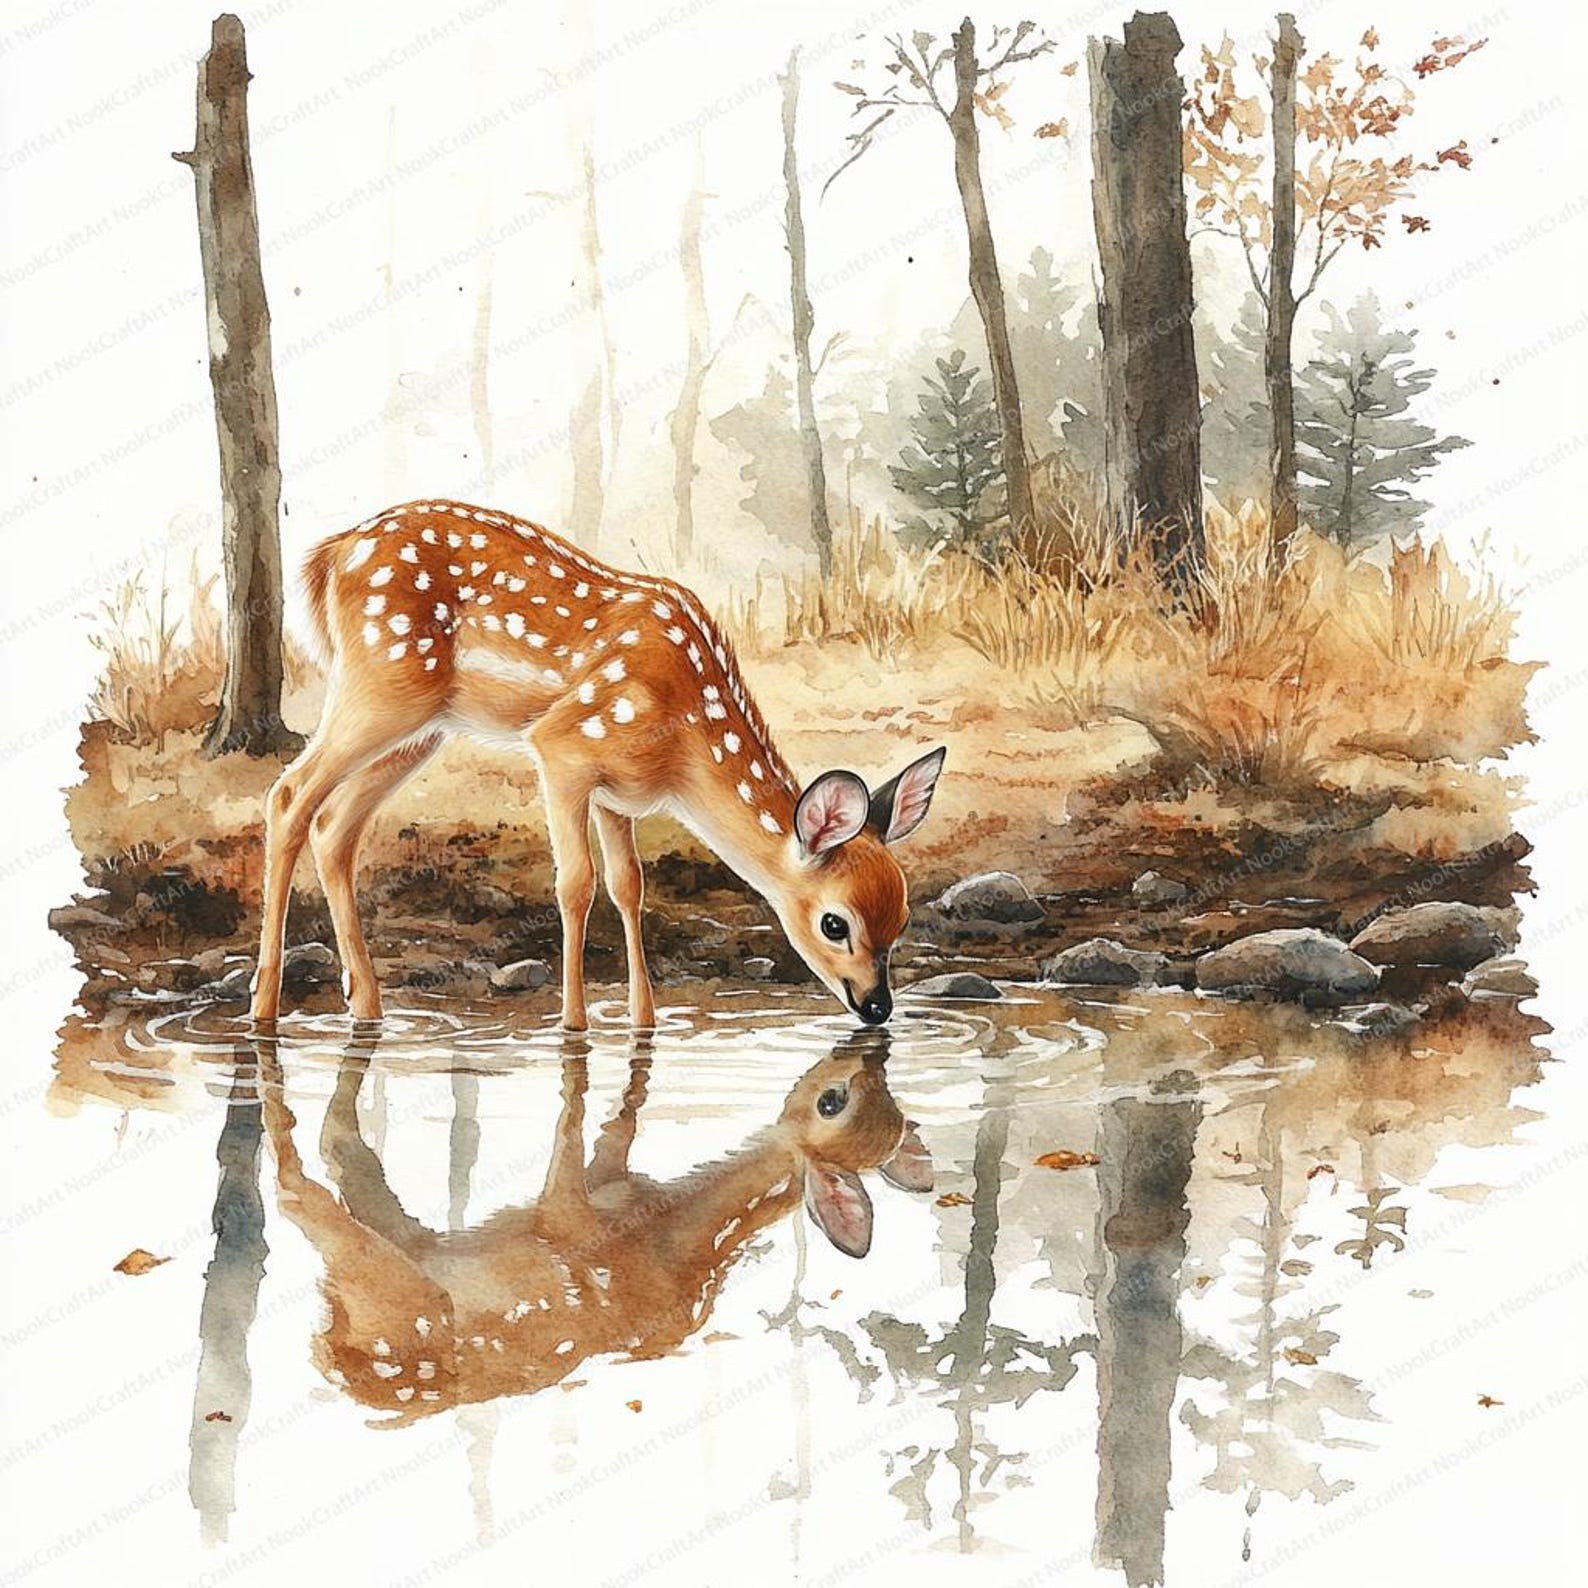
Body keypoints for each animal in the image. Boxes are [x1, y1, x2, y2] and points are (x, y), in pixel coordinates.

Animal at [251, 501, 946, 1031]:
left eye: (905, 918)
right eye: (835, 922)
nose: (878, 1007)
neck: (681, 747)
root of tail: (333, 554)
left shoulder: (620, 794)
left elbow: (628, 887)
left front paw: (644, 1023)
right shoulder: (563, 747)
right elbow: (575, 883)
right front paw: (573, 1024)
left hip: (421, 728)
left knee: (334, 825)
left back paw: (365, 1005)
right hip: (383, 683)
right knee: (288, 794)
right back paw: (264, 1007)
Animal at [258, 1033, 934, 1423]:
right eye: (838, 1099)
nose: (873, 1045)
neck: (673, 1229)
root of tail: (338, 1355)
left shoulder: (571, 1216)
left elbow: (577, 1125)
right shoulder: (597, 1194)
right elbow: (602, 1116)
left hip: (382, 1274)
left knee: (309, 1177)